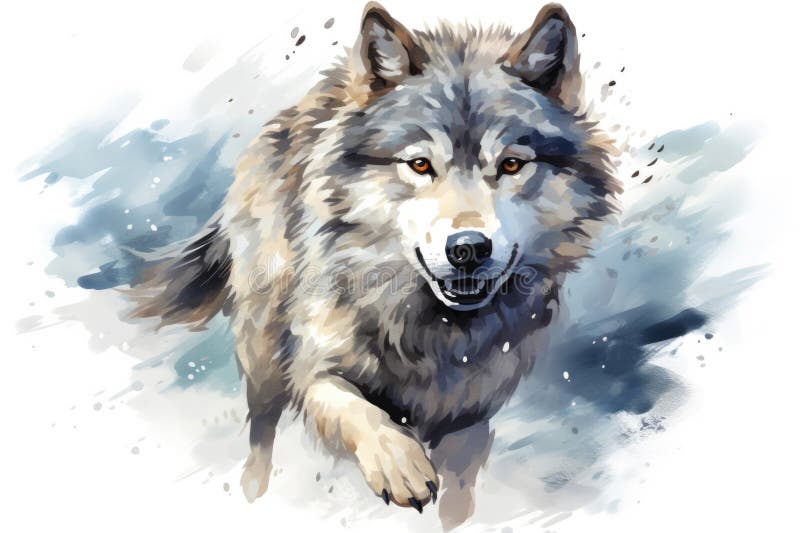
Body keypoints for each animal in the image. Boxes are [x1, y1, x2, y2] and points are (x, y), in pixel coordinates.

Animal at [130, 2, 620, 528]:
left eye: (511, 165)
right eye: (420, 165)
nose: (468, 248)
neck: (435, 334)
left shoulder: (470, 420)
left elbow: (459, 504)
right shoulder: (312, 368)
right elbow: (359, 410)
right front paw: (399, 465)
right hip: (263, 357)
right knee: (260, 439)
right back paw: (252, 496)